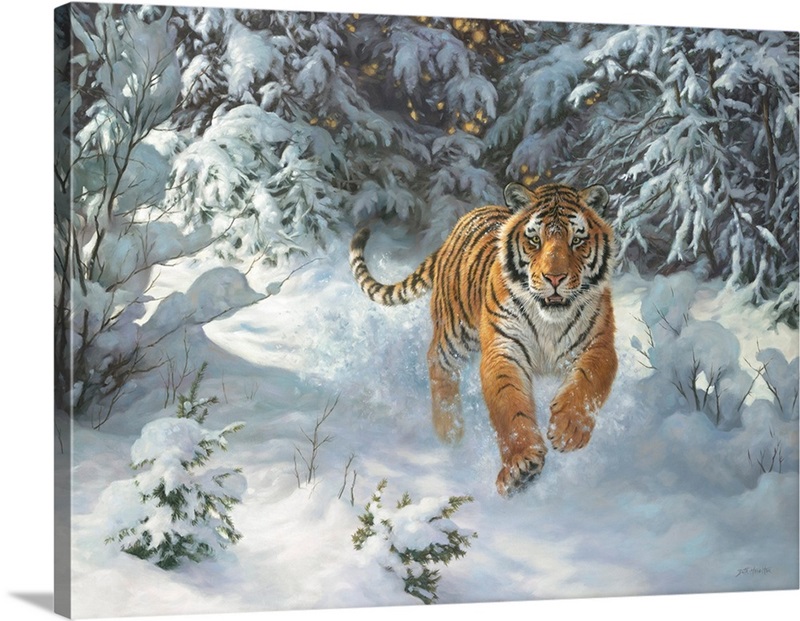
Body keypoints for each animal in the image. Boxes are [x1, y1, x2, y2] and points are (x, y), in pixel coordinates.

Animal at [349, 182, 618, 496]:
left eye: (577, 240)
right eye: (534, 240)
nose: (554, 278)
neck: (549, 320)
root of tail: (461, 223)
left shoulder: (598, 344)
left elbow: (587, 384)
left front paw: (569, 429)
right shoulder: (503, 349)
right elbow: (510, 407)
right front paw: (520, 467)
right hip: (454, 331)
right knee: (437, 363)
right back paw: (449, 432)